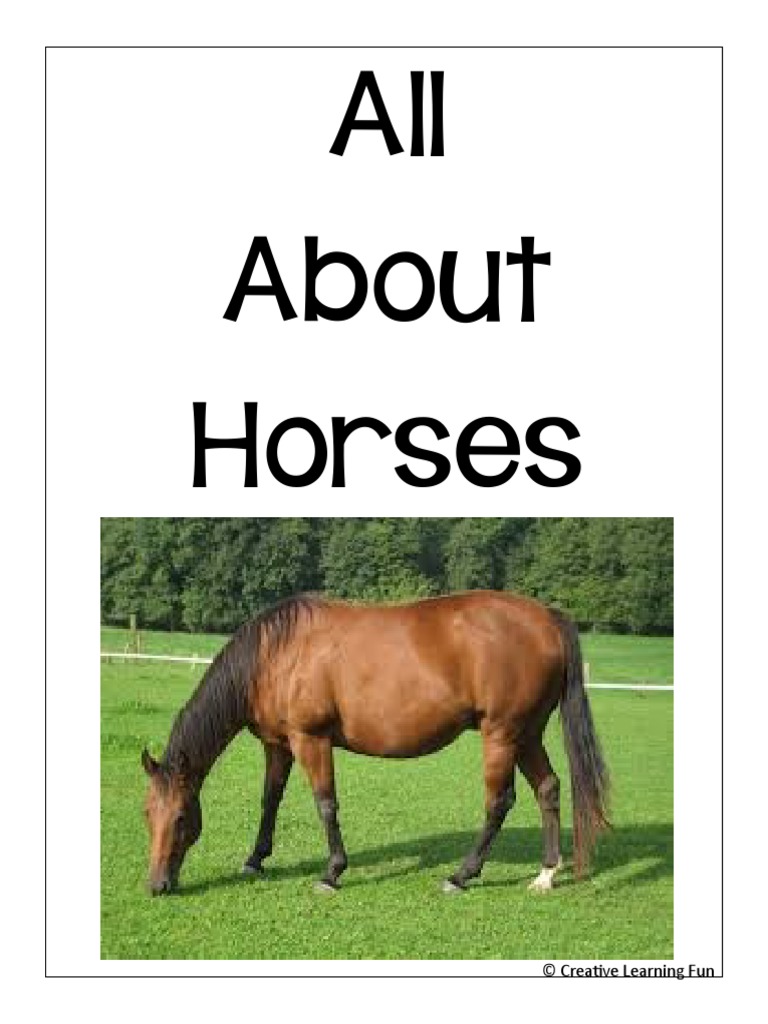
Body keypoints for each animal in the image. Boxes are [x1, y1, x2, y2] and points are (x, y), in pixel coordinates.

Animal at [141, 591, 609, 896]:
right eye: (148, 813)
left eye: (181, 817)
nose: (157, 885)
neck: (276, 654)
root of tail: (546, 617)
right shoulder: (279, 744)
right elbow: (270, 799)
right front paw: (255, 859)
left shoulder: (310, 739)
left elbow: (325, 804)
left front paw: (332, 873)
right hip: (526, 734)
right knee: (548, 788)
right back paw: (546, 874)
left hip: (502, 734)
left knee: (500, 801)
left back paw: (461, 875)